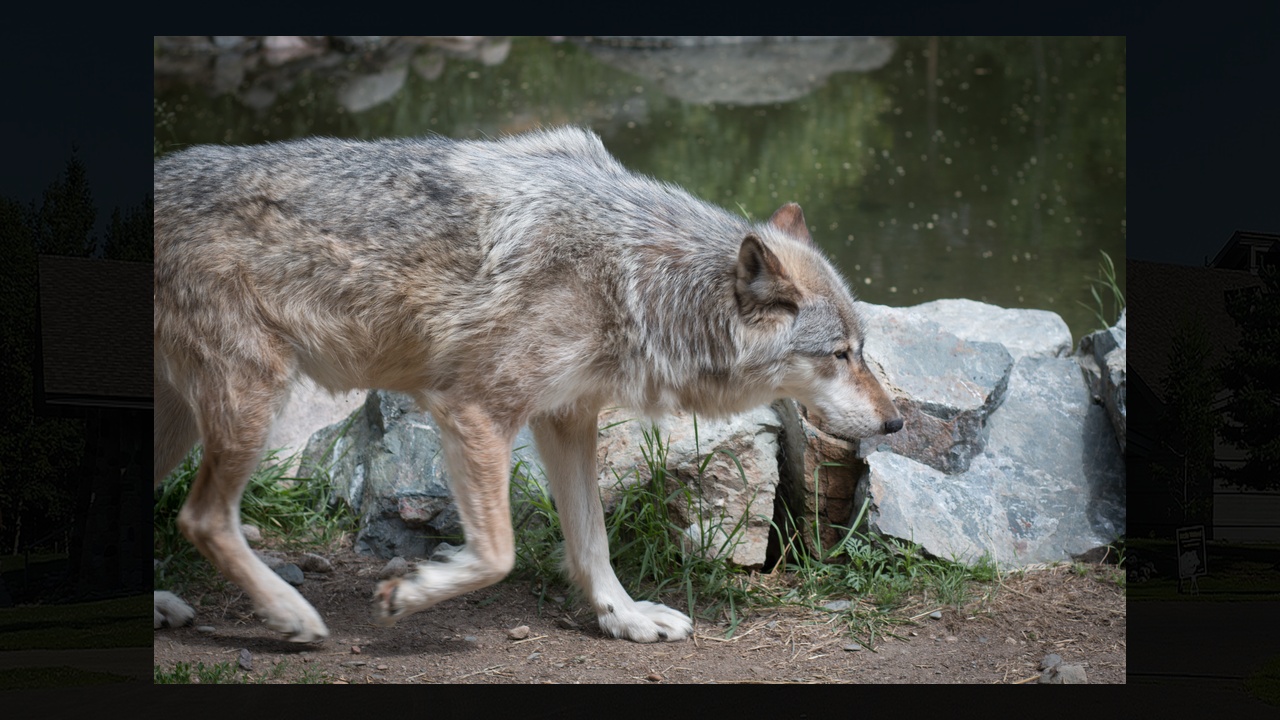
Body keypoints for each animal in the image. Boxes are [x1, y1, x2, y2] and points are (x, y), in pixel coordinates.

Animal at [153, 126, 903, 644]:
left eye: (863, 350)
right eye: (839, 354)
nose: (895, 423)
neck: (632, 273)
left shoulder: (568, 417)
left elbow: (591, 539)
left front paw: (625, 618)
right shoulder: (475, 410)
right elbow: (498, 554)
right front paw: (411, 593)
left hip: (185, 422)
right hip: (252, 405)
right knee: (202, 518)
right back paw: (289, 613)